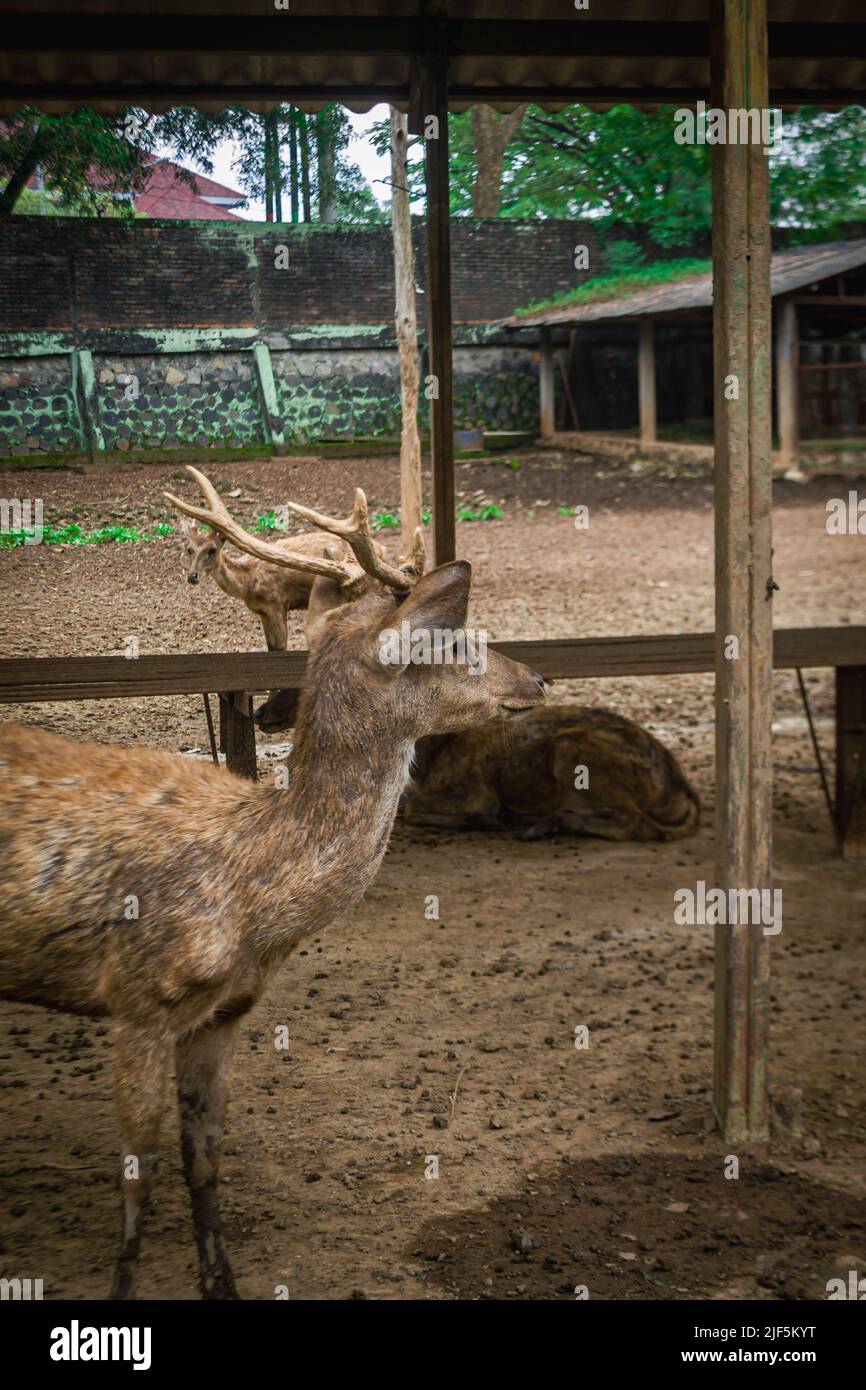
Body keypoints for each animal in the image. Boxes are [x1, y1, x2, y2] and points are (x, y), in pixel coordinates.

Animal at [0, 465, 546, 1302]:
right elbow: (137, 1184)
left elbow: (203, 1161)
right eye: (453, 639)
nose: (541, 678)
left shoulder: (222, 1015)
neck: (252, 907)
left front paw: (222, 1285)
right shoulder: (134, 999)